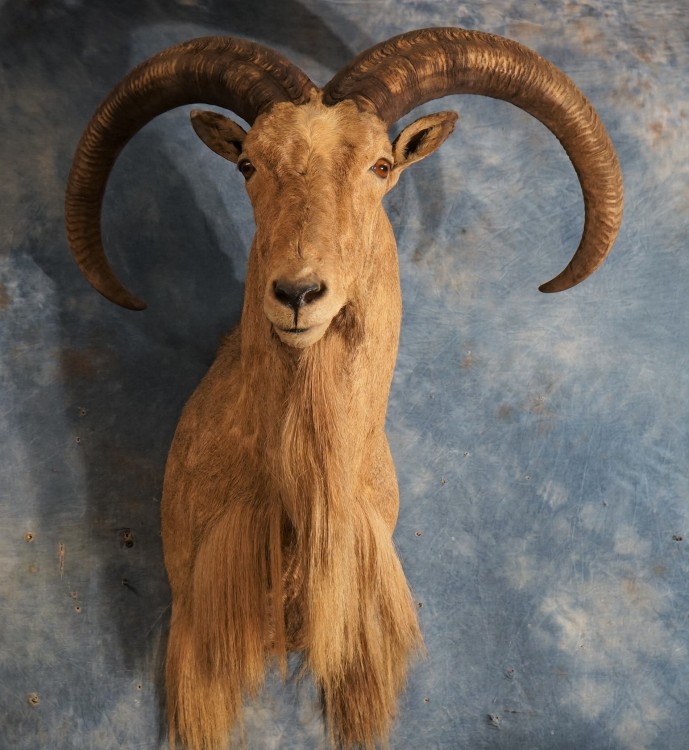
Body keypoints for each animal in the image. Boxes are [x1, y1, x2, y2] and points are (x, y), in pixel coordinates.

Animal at [65, 27, 623, 750]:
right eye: (248, 164)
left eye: (381, 166)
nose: (299, 294)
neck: (298, 502)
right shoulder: (197, 635)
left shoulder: (361, 649)